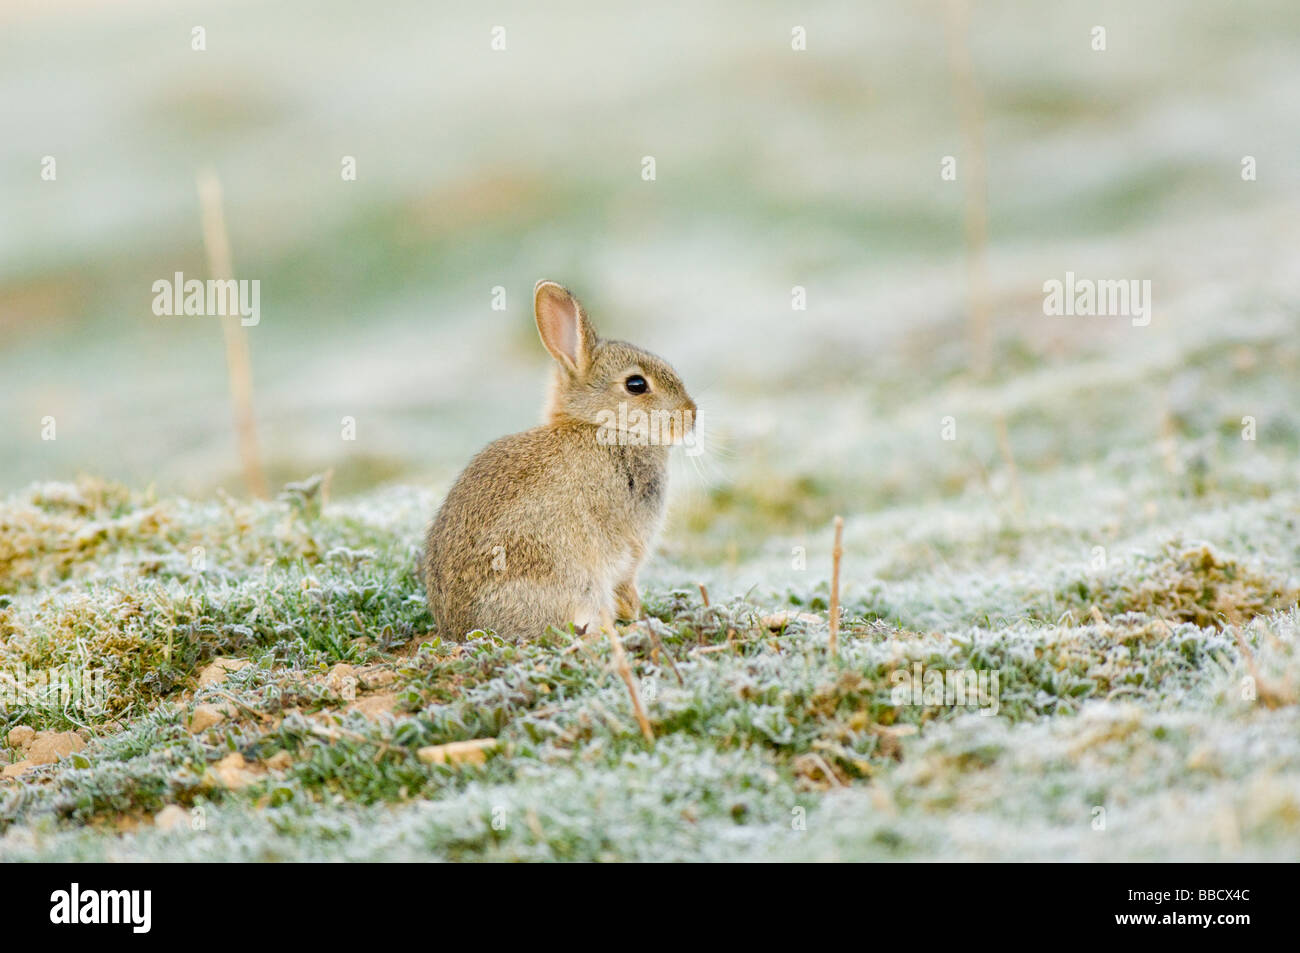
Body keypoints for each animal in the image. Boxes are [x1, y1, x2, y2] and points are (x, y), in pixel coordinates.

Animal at [422, 280, 697, 641]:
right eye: (636, 384)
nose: (691, 415)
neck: (604, 428)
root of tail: (460, 631)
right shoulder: (628, 546)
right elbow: (627, 580)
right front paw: (636, 611)